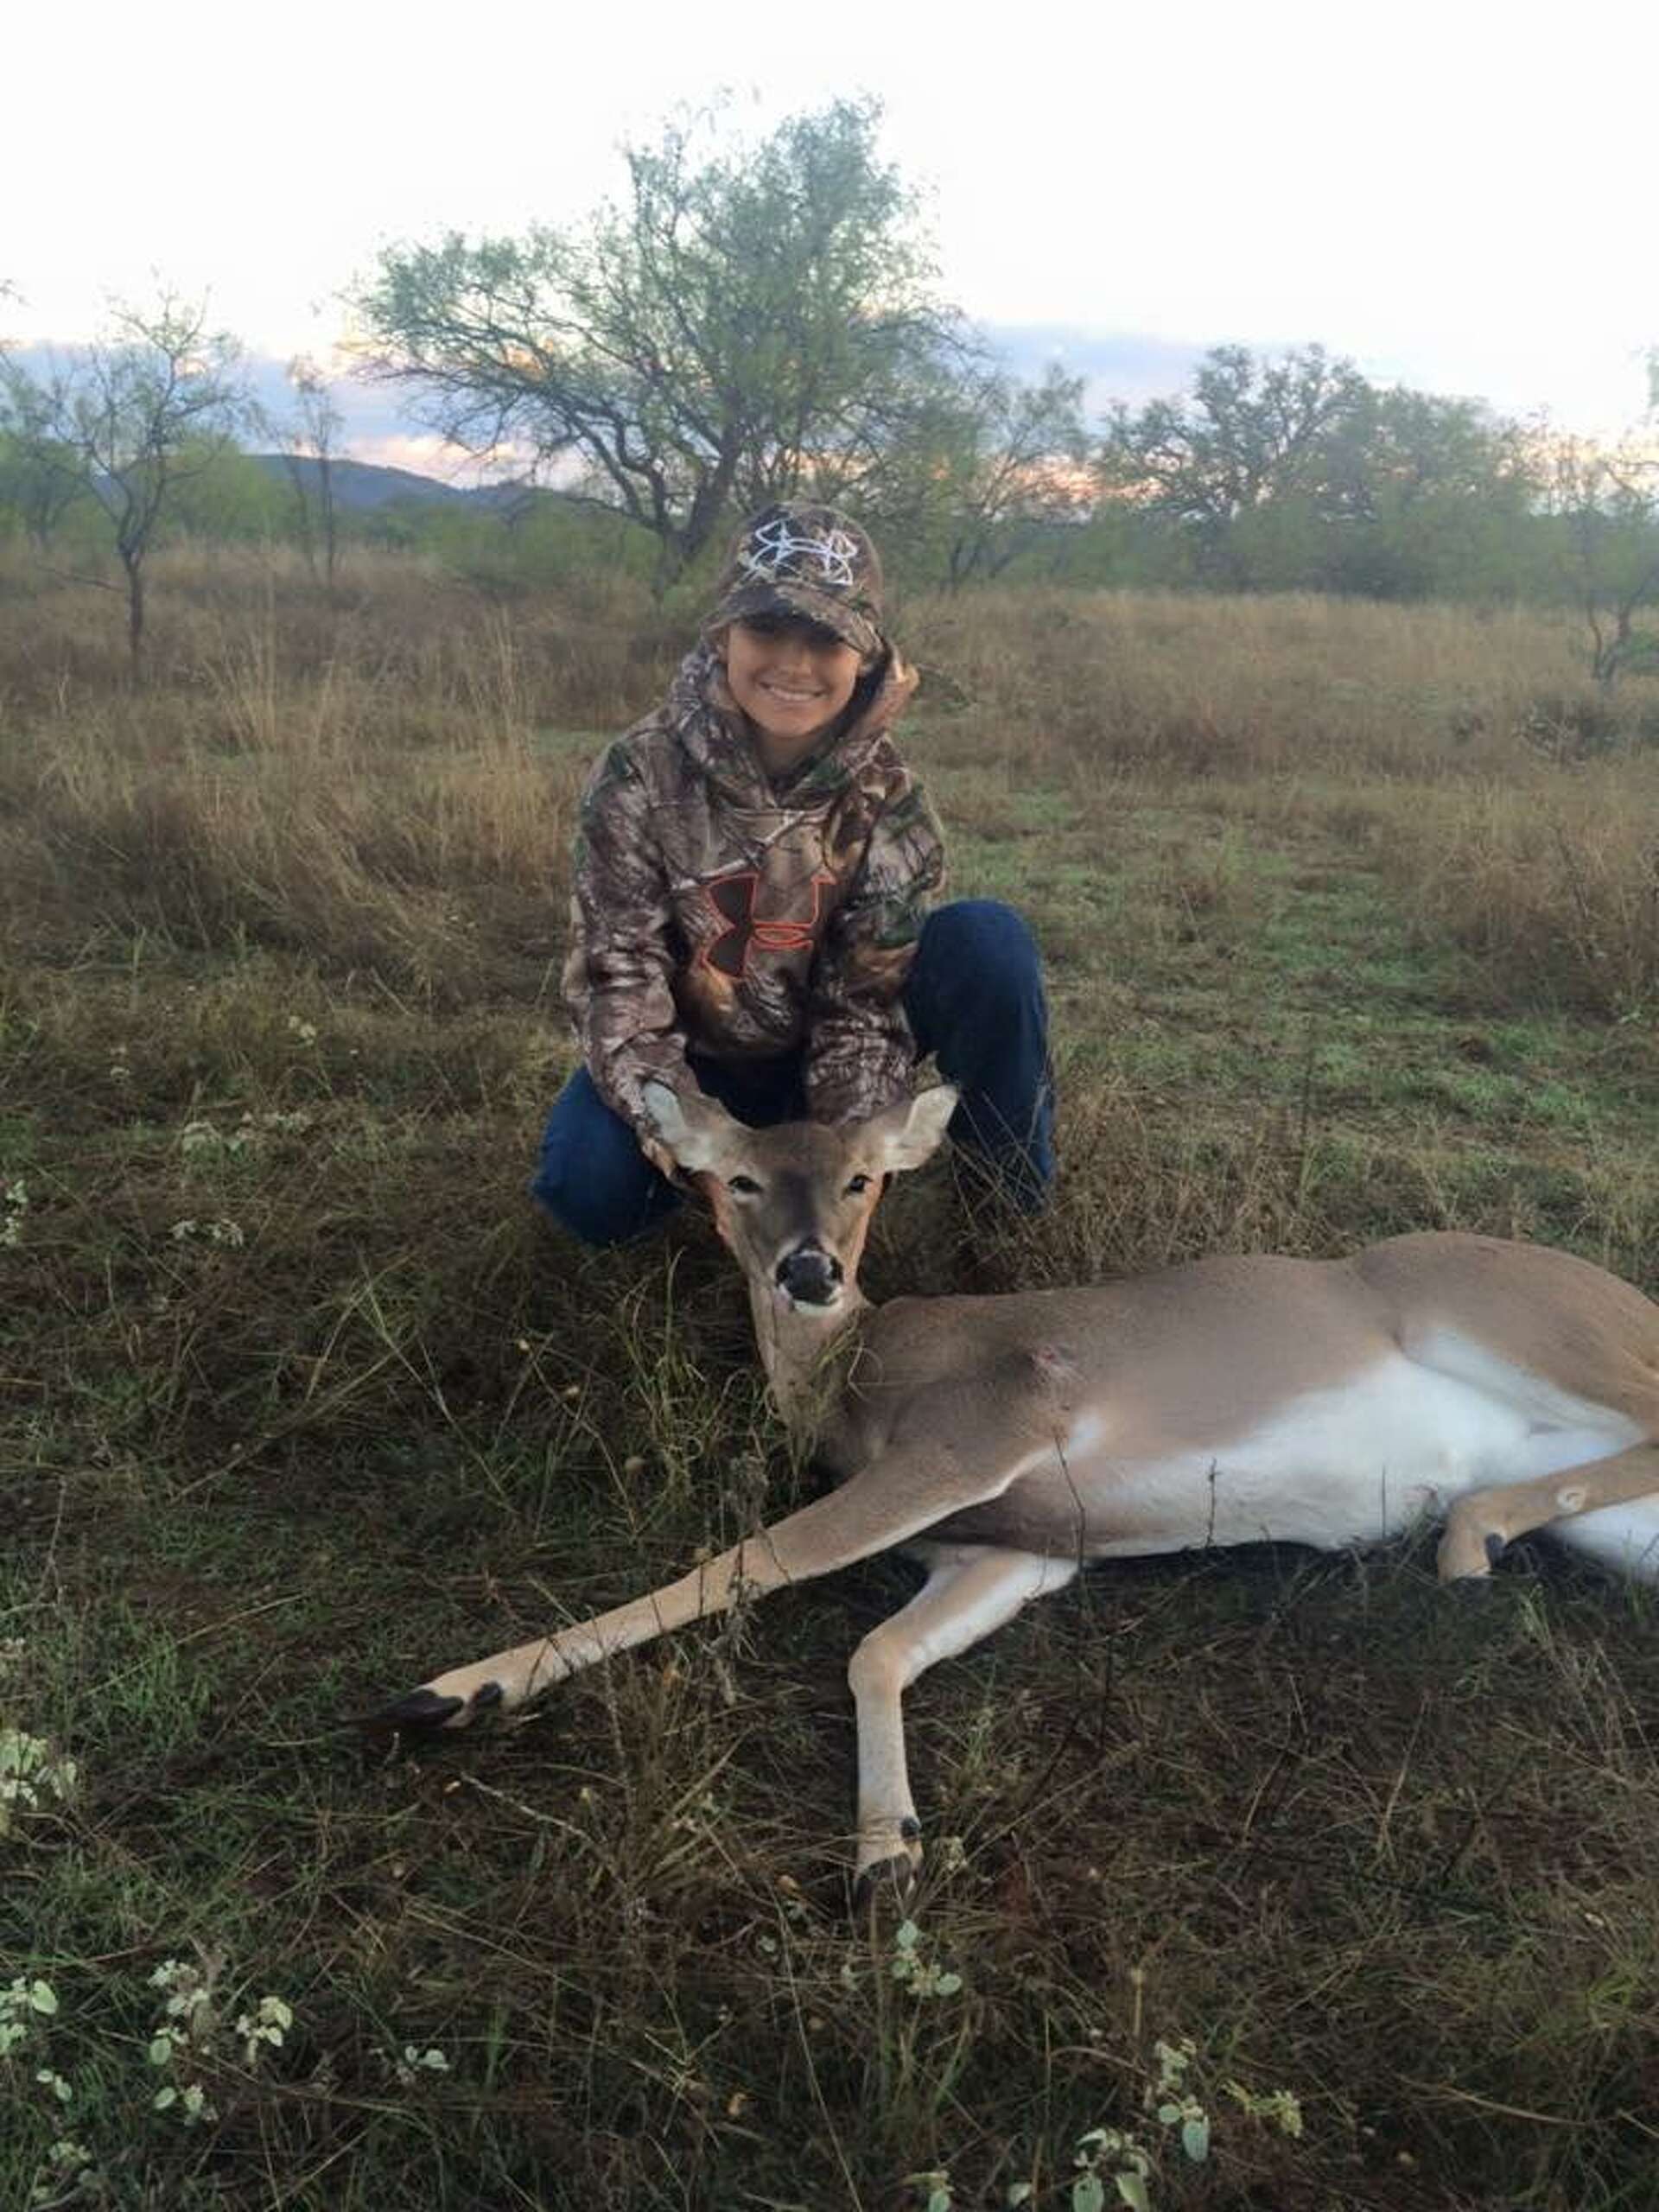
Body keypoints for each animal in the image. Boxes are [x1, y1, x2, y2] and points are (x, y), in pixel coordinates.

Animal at [372, 1082, 1659, 1902]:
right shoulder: (1018, 1548)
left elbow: (741, 1564)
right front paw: (888, 1850)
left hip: (1507, 1314)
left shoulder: (981, 1430)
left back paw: (1466, 1539)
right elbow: (877, 1651)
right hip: (1613, 1518)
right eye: (737, 1180)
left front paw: (457, 1687)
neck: (854, 1377)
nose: (809, 1271)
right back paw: (1473, 1537)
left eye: (859, 1179)